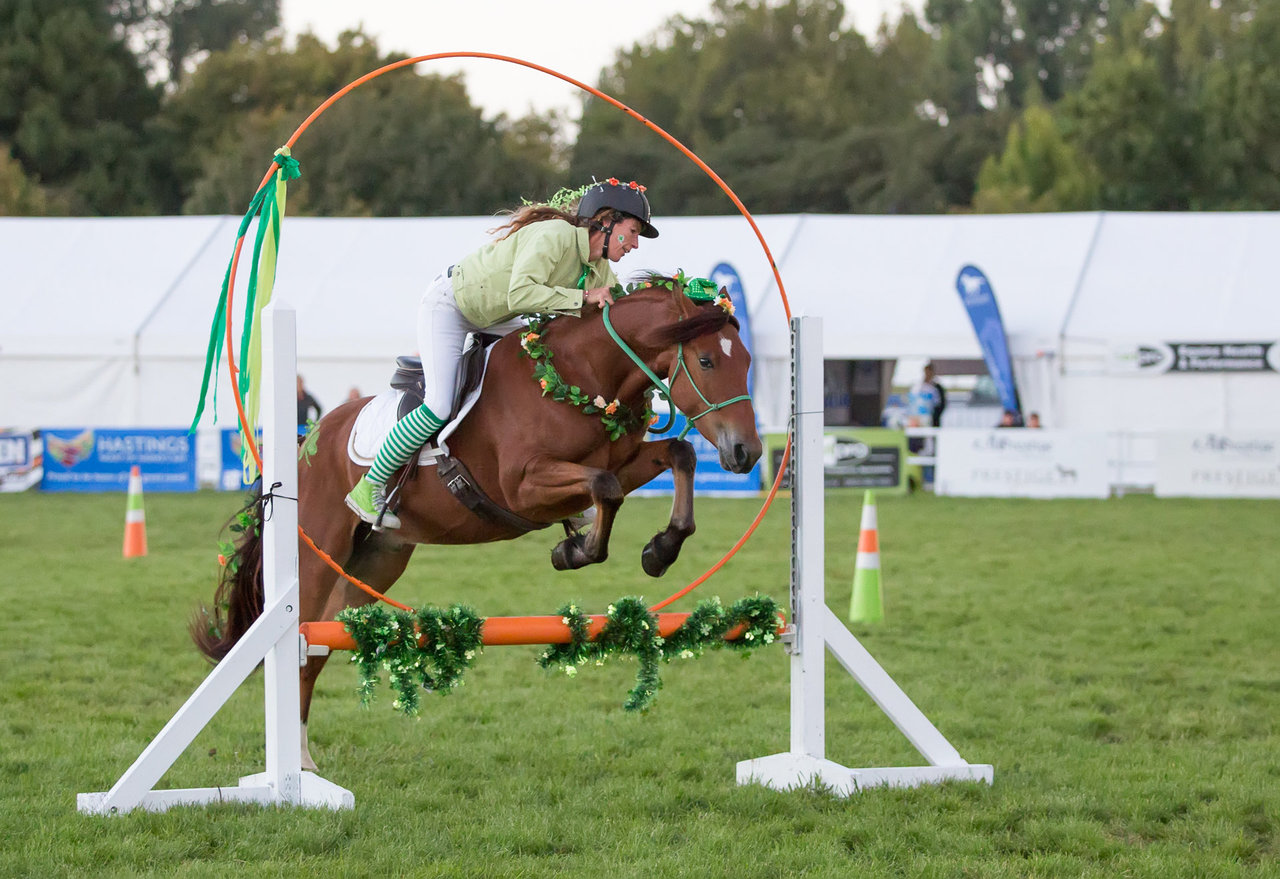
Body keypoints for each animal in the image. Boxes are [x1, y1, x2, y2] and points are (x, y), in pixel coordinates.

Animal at [193, 274, 762, 769]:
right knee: (300, 647)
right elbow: (605, 487)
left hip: (374, 563)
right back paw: (300, 765)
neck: (580, 373)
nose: (748, 453)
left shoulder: (623, 460)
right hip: (317, 556)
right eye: (707, 360)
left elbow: (674, 455)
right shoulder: (523, 487)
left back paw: (306, 761)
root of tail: (306, 440)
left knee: (320, 647)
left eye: (748, 361)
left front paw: (660, 548)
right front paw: (574, 550)